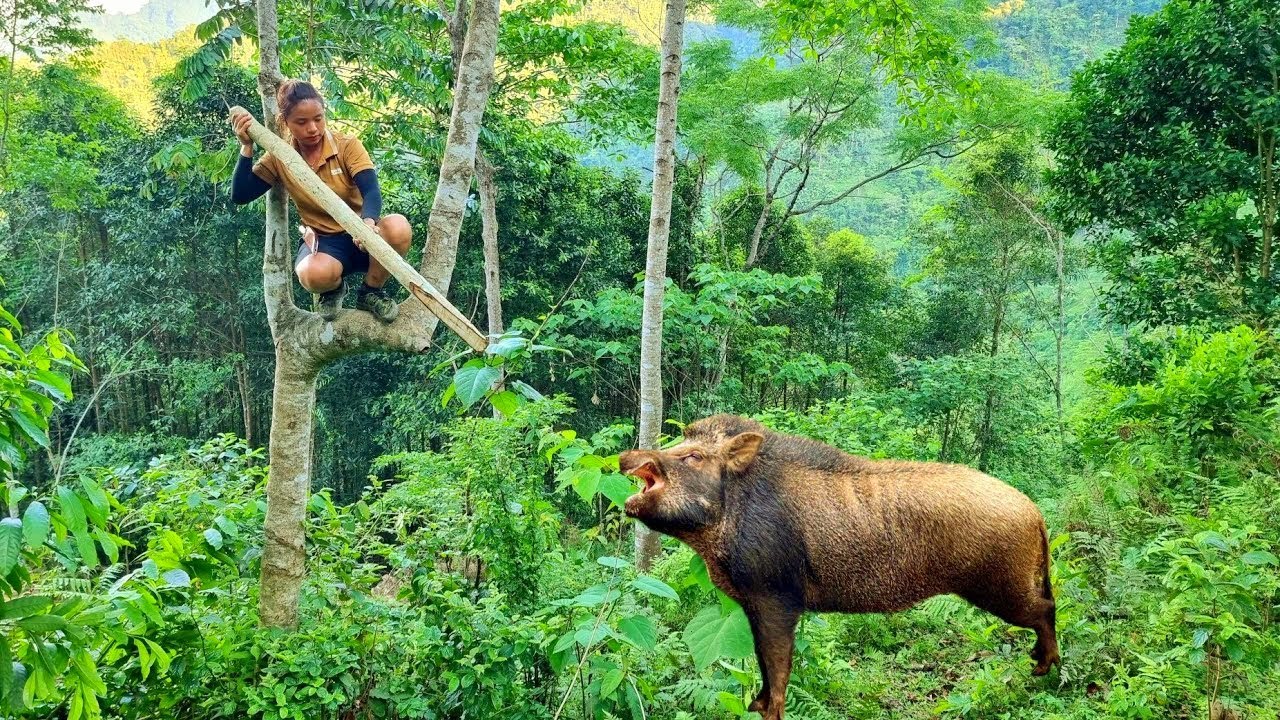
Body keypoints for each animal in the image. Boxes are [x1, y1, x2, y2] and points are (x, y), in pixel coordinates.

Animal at [620, 414, 1059, 720]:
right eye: (682, 440)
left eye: (693, 455)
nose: (627, 456)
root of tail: (1035, 514)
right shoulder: (753, 602)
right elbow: (762, 660)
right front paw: (754, 705)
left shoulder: (776, 595)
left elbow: (777, 663)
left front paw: (768, 710)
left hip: (1000, 585)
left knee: (1046, 609)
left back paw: (1044, 668)